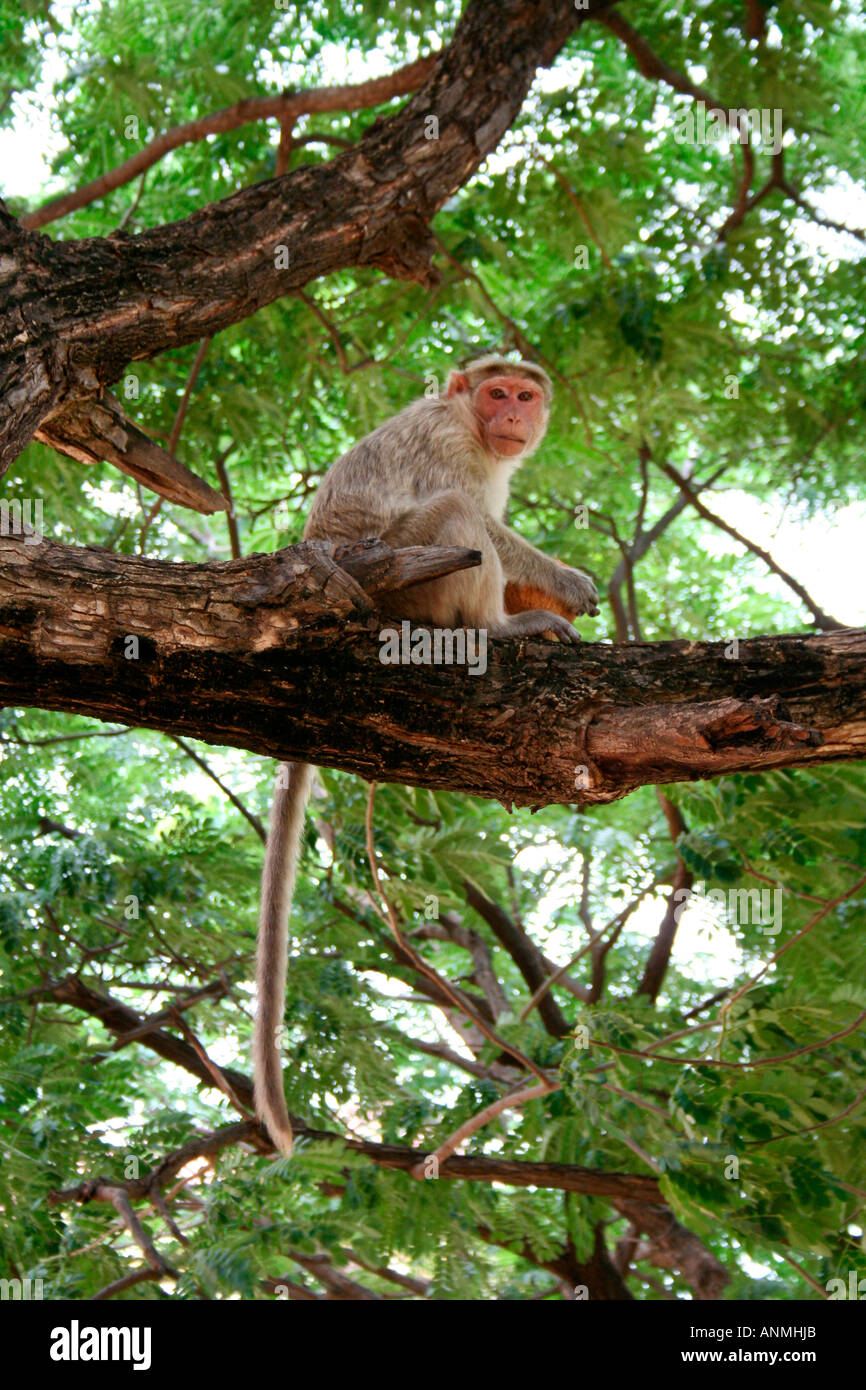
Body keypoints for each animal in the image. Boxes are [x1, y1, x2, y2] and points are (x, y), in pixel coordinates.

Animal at [254, 355, 599, 1155]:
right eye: (495, 392)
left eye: (524, 394)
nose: (512, 412)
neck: (469, 421)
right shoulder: (448, 438)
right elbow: (483, 521)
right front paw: (563, 582)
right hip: (405, 587)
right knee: (454, 520)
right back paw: (499, 628)